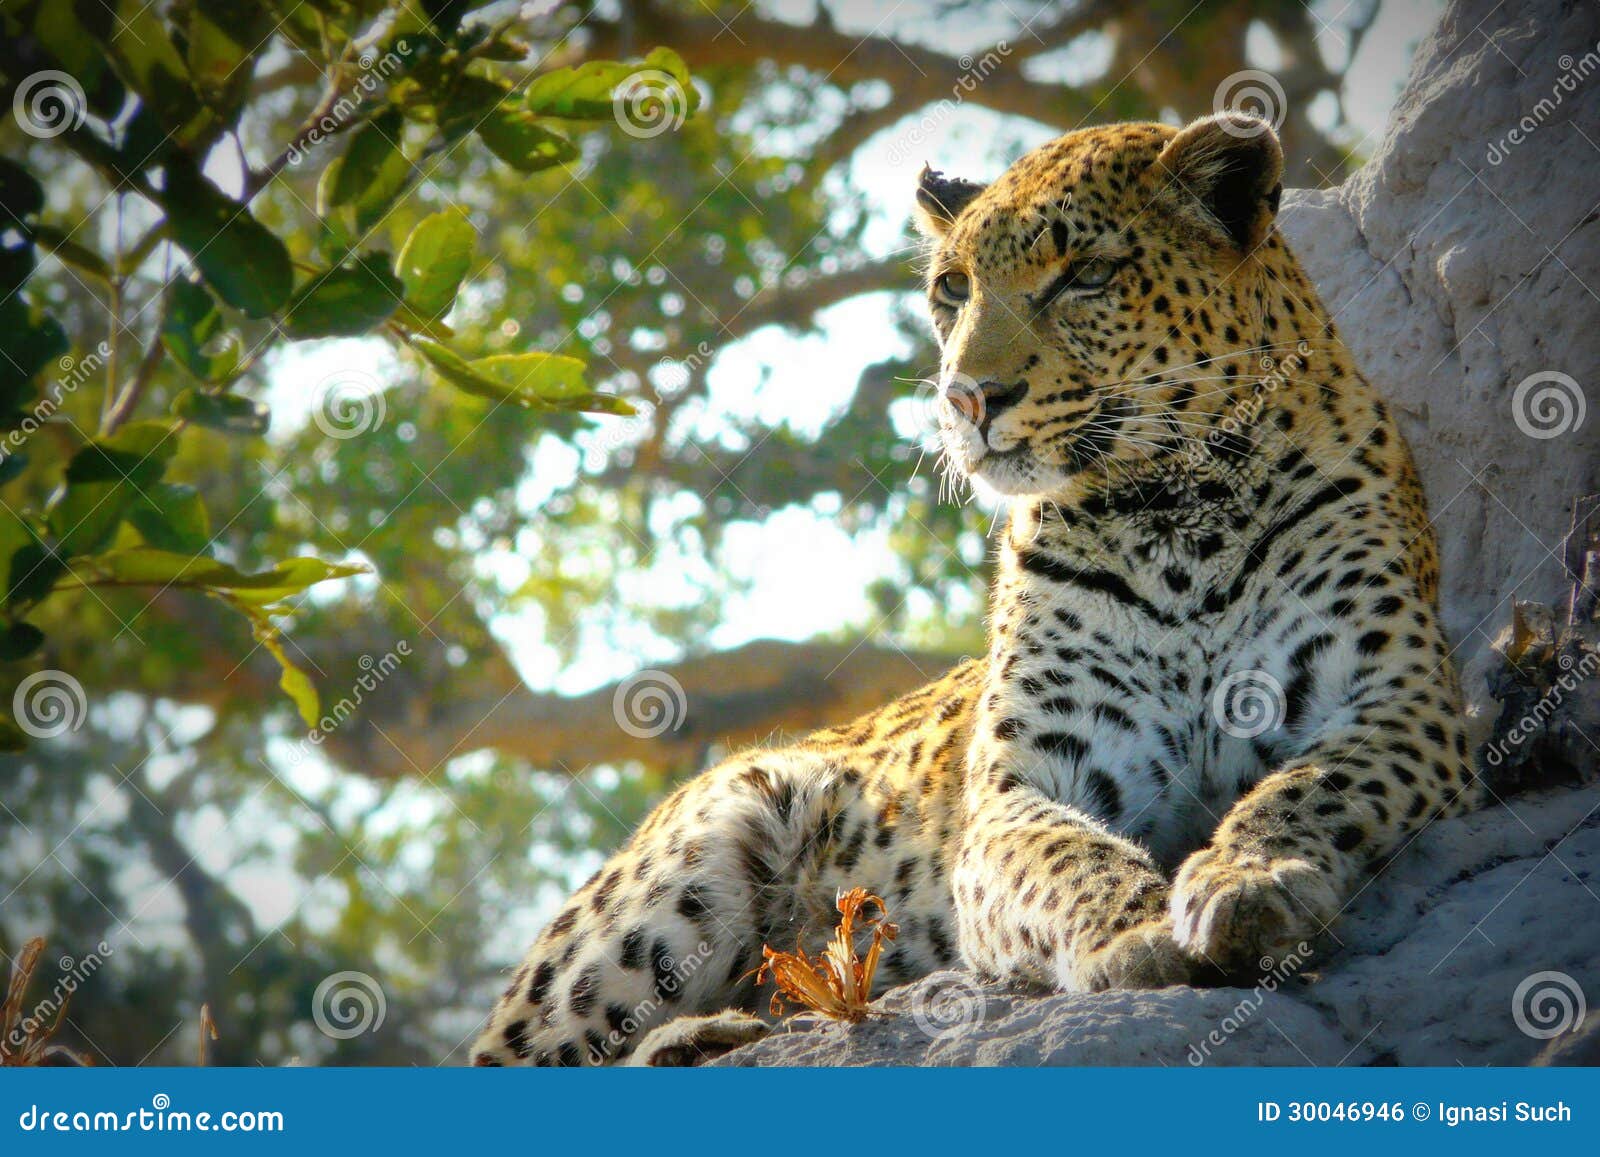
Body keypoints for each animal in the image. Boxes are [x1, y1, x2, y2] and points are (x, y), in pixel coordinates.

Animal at [469, 112, 1480, 1067]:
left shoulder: (1403, 702)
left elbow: (1309, 787)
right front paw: (1139, 934)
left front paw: (1250, 879)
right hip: (685, 866)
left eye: (1085, 276)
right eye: (951, 290)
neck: (1177, 513)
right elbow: (1065, 854)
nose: (966, 397)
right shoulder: (1019, 784)